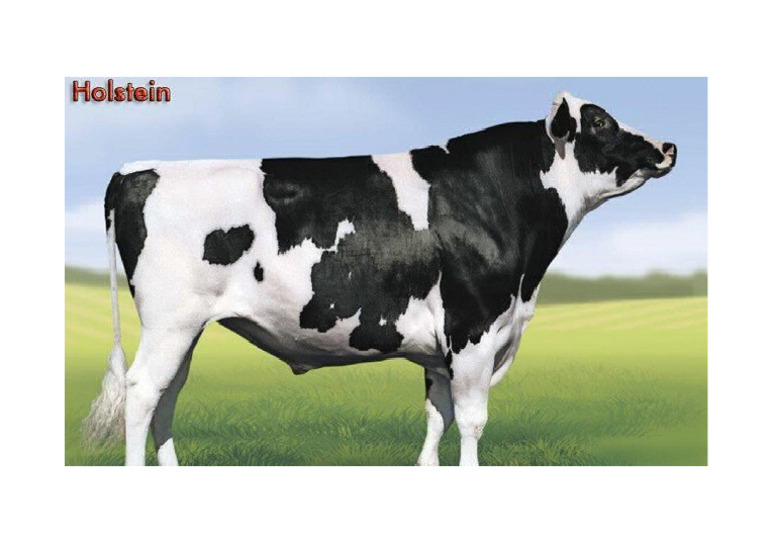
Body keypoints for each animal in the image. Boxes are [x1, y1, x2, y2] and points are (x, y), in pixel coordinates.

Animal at [82, 91, 677, 466]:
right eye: (600, 123)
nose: (668, 146)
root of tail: (137, 169)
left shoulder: (443, 348)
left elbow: (437, 419)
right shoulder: (473, 328)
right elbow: (472, 422)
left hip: (185, 328)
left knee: (167, 396)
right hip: (170, 321)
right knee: (142, 392)